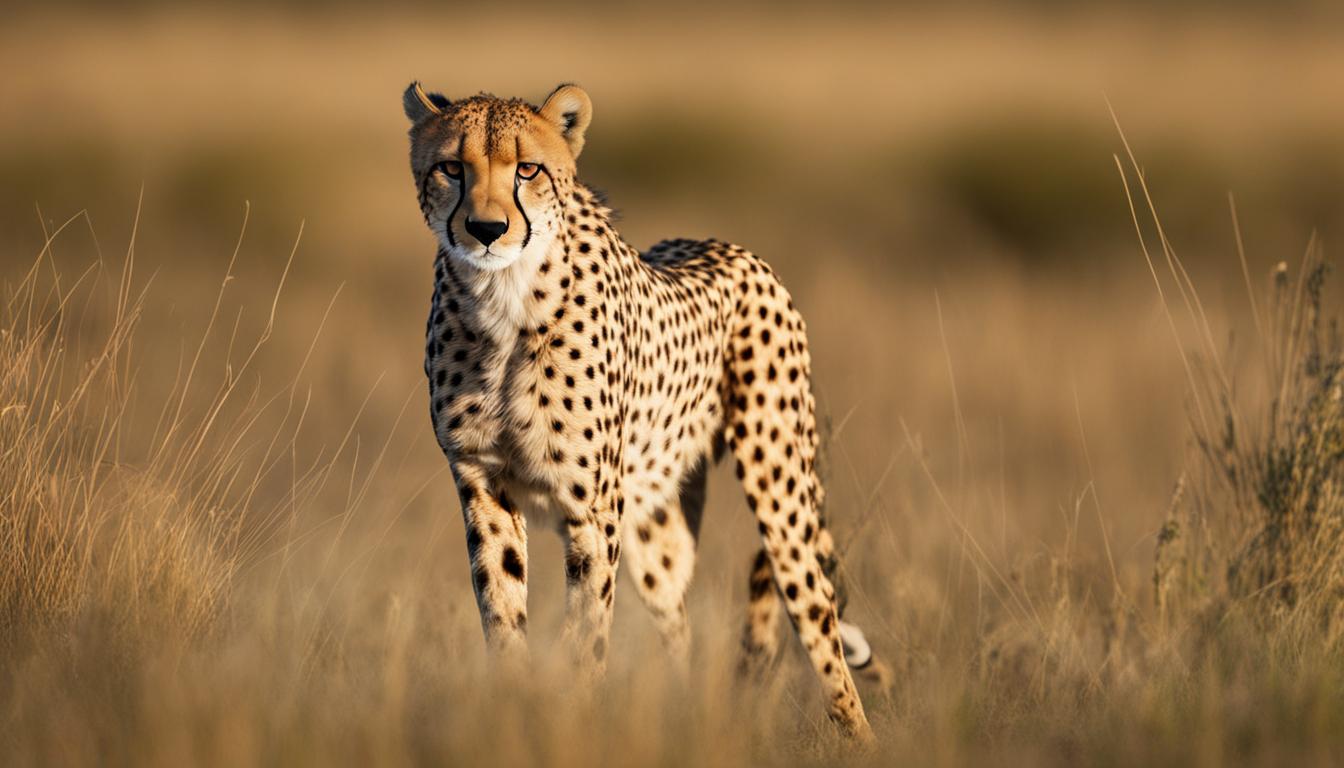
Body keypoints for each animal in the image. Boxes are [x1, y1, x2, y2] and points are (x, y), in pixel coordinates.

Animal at [404, 81, 883, 739]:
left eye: (527, 169)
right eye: (452, 168)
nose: (485, 228)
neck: (503, 299)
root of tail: (732, 248)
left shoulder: (591, 509)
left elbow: (588, 631)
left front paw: (577, 712)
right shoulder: (482, 484)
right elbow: (501, 610)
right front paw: (512, 707)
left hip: (780, 495)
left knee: (820, 624)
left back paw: (860, 734)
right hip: (657, 534)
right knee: (678, 628)